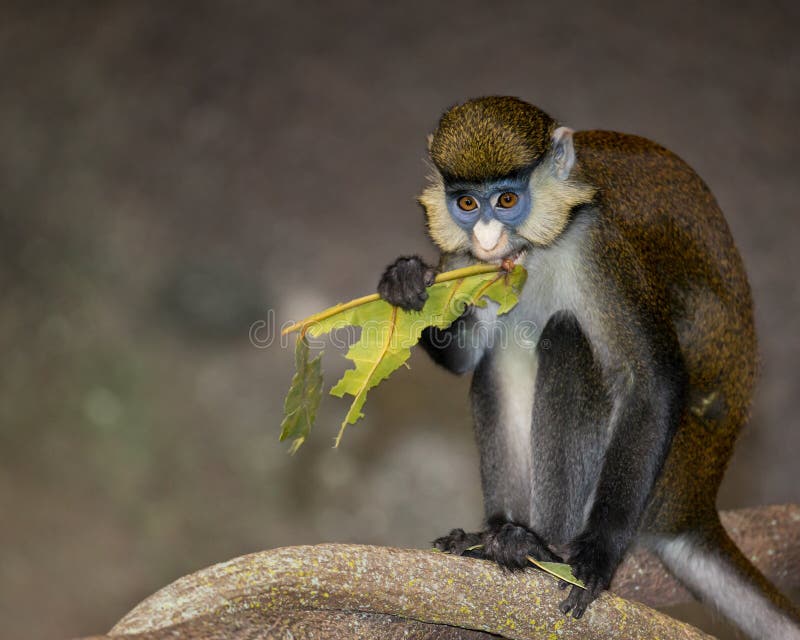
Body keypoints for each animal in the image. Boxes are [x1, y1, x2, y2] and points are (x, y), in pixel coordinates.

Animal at [377, 96, 800, 639]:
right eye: (467, 205)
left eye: (507, 200)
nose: (488, 240)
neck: (538, 252)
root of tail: (694, 503)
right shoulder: (461, 261)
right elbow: (468, 354)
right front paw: (407, 282)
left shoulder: (601, 246)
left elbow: (654, 381)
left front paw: (598, 554)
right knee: (501, 355)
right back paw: (497, 534)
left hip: (659, 480)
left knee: (567, 337)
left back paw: (541, 546)